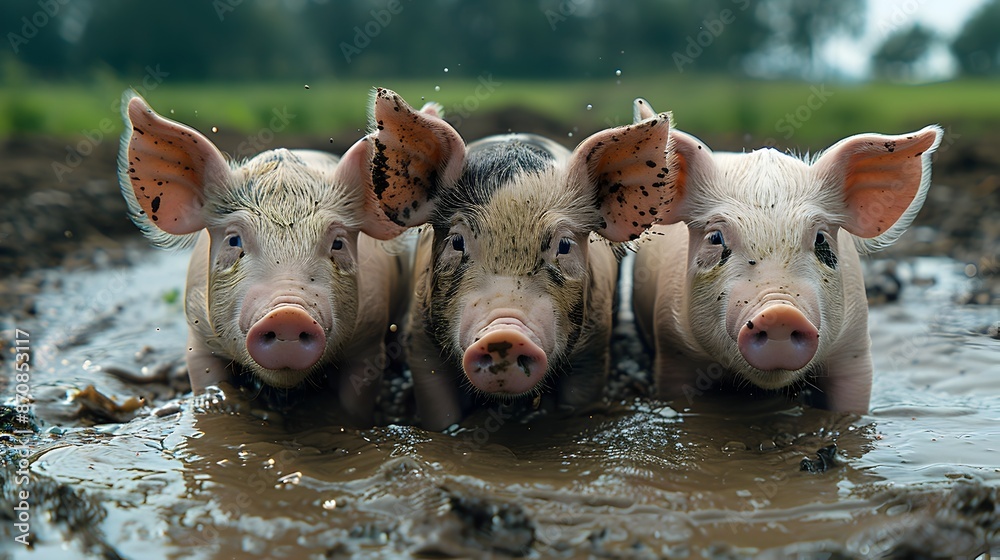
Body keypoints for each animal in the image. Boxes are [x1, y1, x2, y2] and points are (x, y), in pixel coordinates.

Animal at [117, 91, 410, 425]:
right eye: (234, 240)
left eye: (337, 244)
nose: (288, 314)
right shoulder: (198, 335)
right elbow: (208, 382)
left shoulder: (370, 338)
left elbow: (355, 401)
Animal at [368, 88, 674, 430]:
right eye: (457, 241)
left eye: (564, 245)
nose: (505, 333)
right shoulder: (421, 341)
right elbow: (440, 410)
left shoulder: (593, 348)